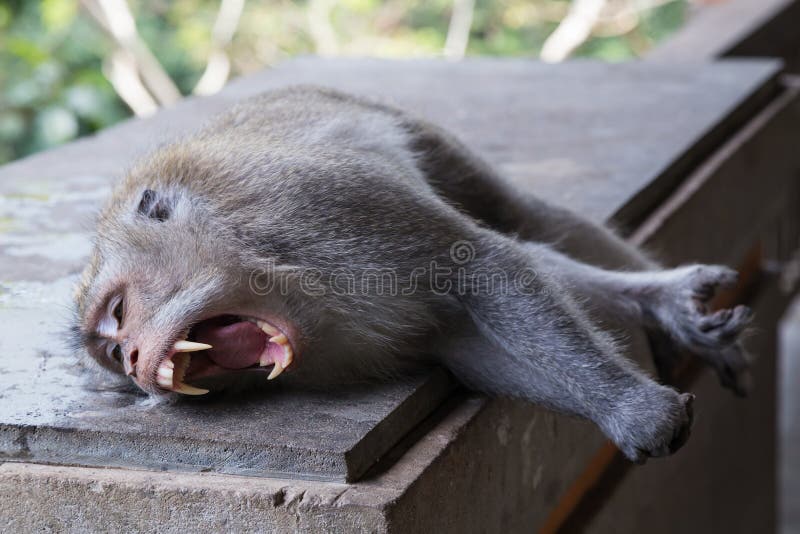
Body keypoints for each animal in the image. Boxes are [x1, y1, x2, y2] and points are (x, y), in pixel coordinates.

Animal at [72, 85, 752, 463]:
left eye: (117, 313)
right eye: (111, 354)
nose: (132, 358)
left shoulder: (312, 207)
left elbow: (478, 263)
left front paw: (638, 411)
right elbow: (472, 342)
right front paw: (620, 407)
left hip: (408, 129)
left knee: (521, 217)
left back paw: (669, 300)